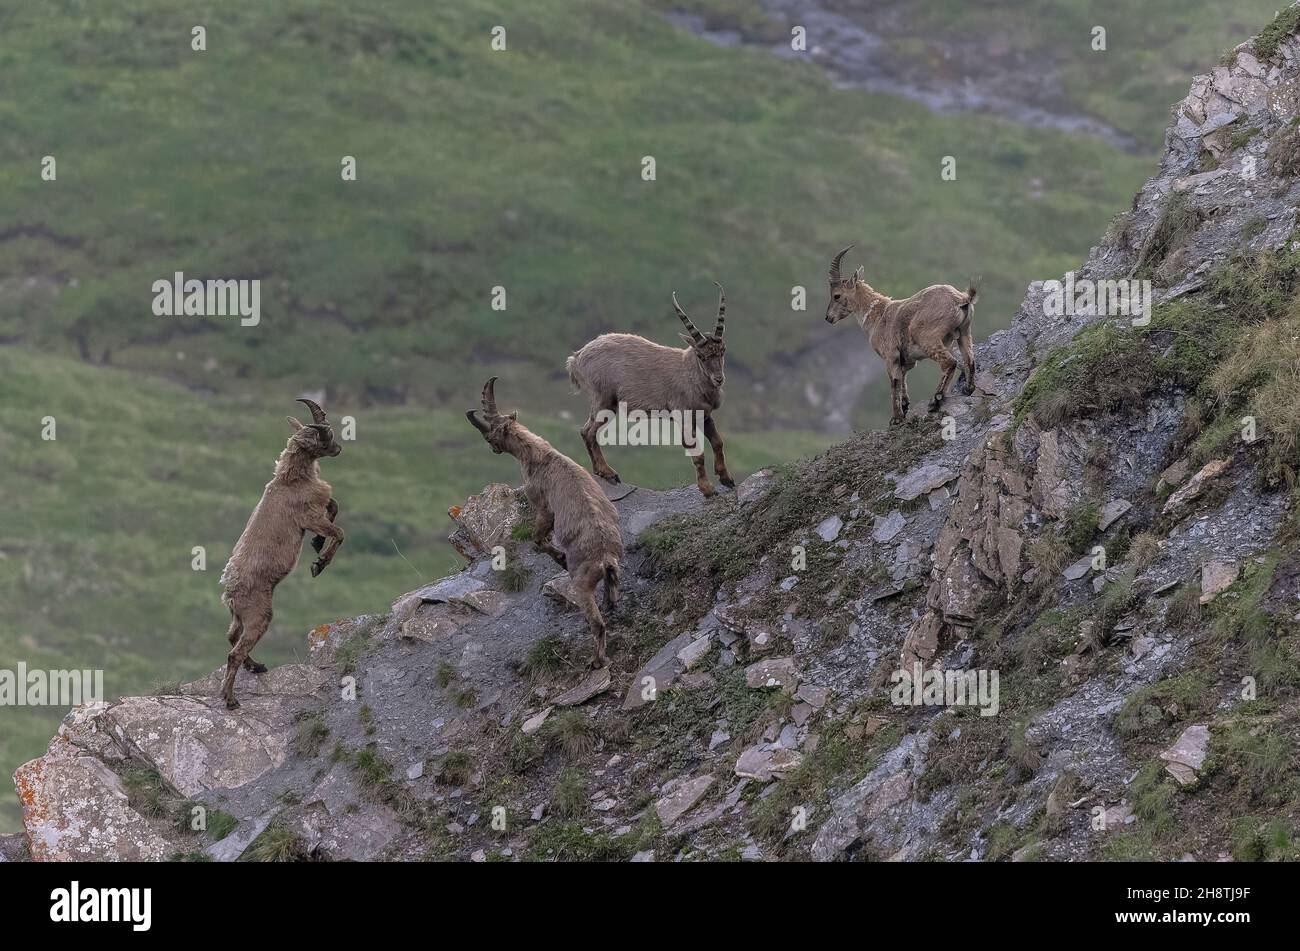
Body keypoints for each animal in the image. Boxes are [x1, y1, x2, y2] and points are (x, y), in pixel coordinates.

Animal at [218, 398, 344, 709]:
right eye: (325, 437)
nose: (338, 448)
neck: (290, 480)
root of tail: (230, 591)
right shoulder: (308, 516)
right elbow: (339, 531)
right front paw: (318, 563)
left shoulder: (316, 509)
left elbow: (334, 507)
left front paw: (317, 544)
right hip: (259, 613)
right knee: (235, 650)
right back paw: (230, 699)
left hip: (240, 615)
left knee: (232, 636)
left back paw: (257, 666)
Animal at [467, 377, 623, 667]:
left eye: (490, 433)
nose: (492, 448)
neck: (539, 455)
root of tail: (605, 557)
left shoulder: (542, 505)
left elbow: (538, 539)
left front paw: (560, 558)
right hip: (613, 570)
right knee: (612, 595)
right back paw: (609, 604)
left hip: (581, 584)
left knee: (598, 625)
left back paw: (596, 661)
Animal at [566, 284, 733, 496]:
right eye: (701, 355)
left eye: (723, 350)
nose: (718, 379)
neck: (690, 373)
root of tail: (576, 359)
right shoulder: (684, 416)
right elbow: (697, 453)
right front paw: (707, 489)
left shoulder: (704, 416)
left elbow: (718, 442)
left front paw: (727, 479)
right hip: (604, 399)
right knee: (588, 431)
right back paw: (608, 472)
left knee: (587, 431)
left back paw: (600, 471)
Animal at [823, 246, 978, 425]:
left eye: (837, 295)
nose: (828, 317)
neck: (877, 315)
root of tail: (961, 299)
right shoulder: (906, 360)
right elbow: (903, 379)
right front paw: (904, 407)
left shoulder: (891, 356)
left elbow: (894, 382)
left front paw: (896, 419)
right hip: (964, 332)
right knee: (969, 359)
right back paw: (968, 389)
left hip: (928, 338)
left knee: (950, 362)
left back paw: (935, 400)